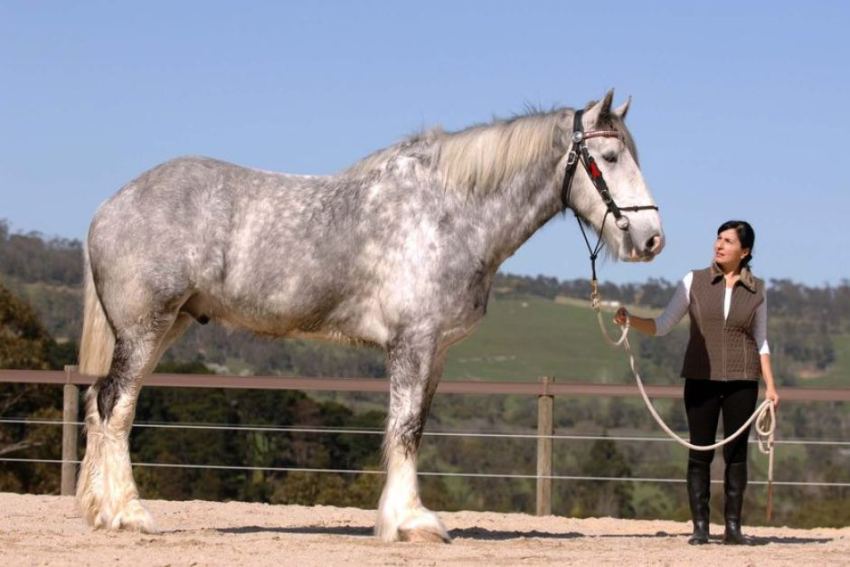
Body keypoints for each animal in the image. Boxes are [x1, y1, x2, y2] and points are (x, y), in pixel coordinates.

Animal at [76, 90, 664, 542]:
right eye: (609, 157)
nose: (651, 239)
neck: (448, 211)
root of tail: (110, 206)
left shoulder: (436, 352)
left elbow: (415, 428)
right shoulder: (412, 344)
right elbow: (402, 429)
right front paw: (411, 523)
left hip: (165, 325)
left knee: (101, 405)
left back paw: (103, 511)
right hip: (146, 327)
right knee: (115, 407)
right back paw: (129, 514)